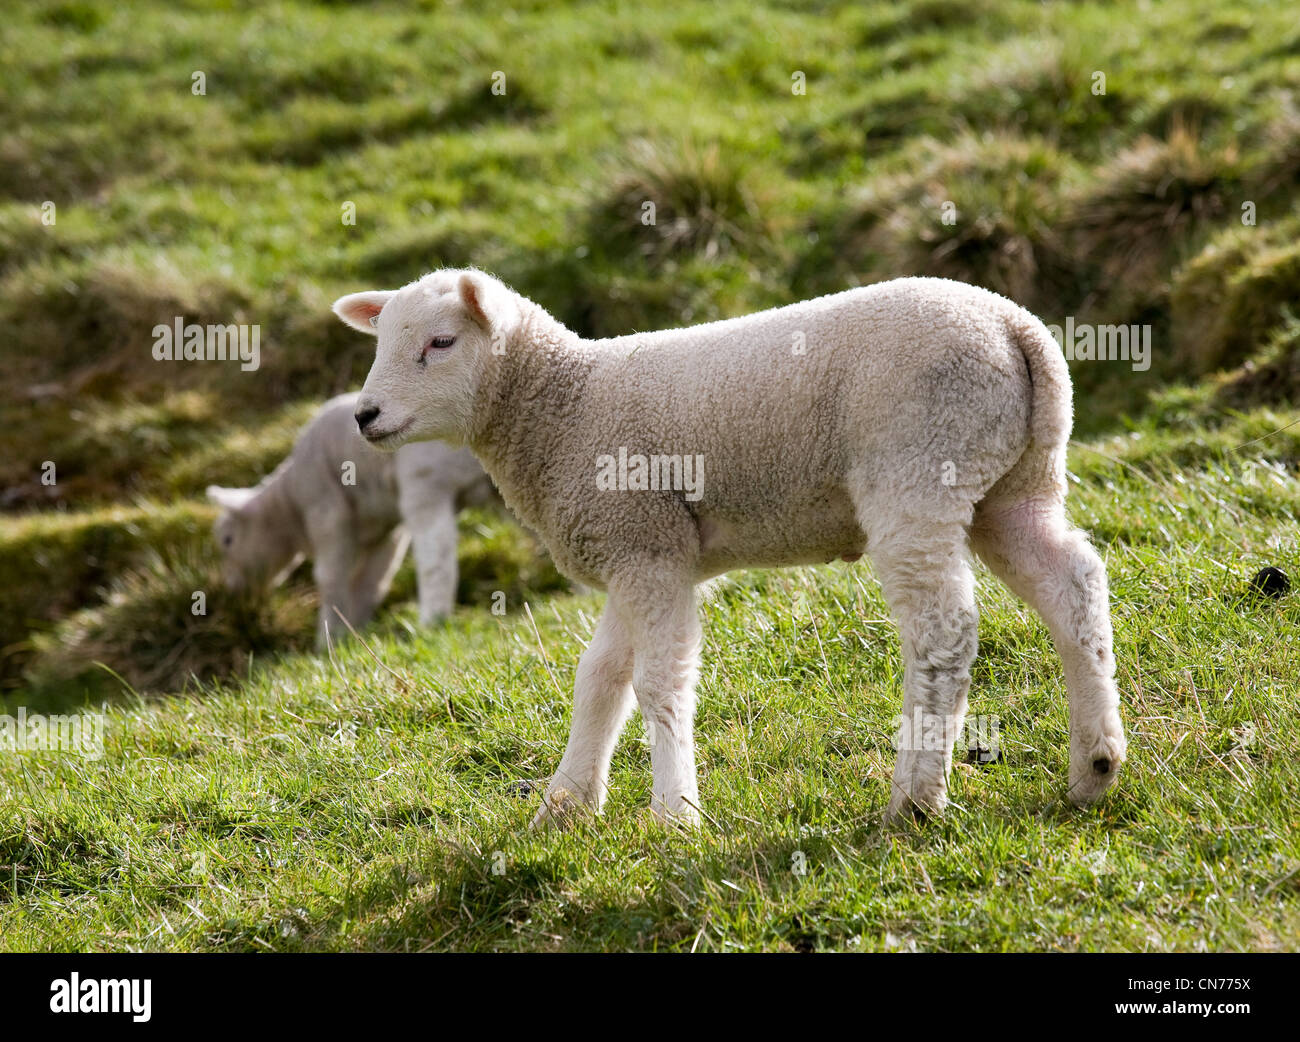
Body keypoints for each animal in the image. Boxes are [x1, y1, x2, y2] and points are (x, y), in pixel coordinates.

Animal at [207, 392, 494, 646]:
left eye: (228, 540)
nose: (231, 591)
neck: (290, 502)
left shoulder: (327, 513)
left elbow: (331, 577)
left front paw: (328, 642)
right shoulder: (385, 531)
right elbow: (371, 579)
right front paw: (354, 633)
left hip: (425, 485)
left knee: (436, 560)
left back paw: (433, 621)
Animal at [332, 269, 1128, 826]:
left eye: (440, 343)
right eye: (379, 343)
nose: (364, 417)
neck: (562, 407)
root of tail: (1015, 327)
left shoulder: (645, 546)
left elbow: (658, 684)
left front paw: (673, 816)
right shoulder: (637, 551)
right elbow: (600, 680)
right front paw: (565, 807)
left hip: (919, 470)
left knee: (943, 635)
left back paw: (915, 799)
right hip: (1011, 485)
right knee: (1075, 585)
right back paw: (1095, 764)